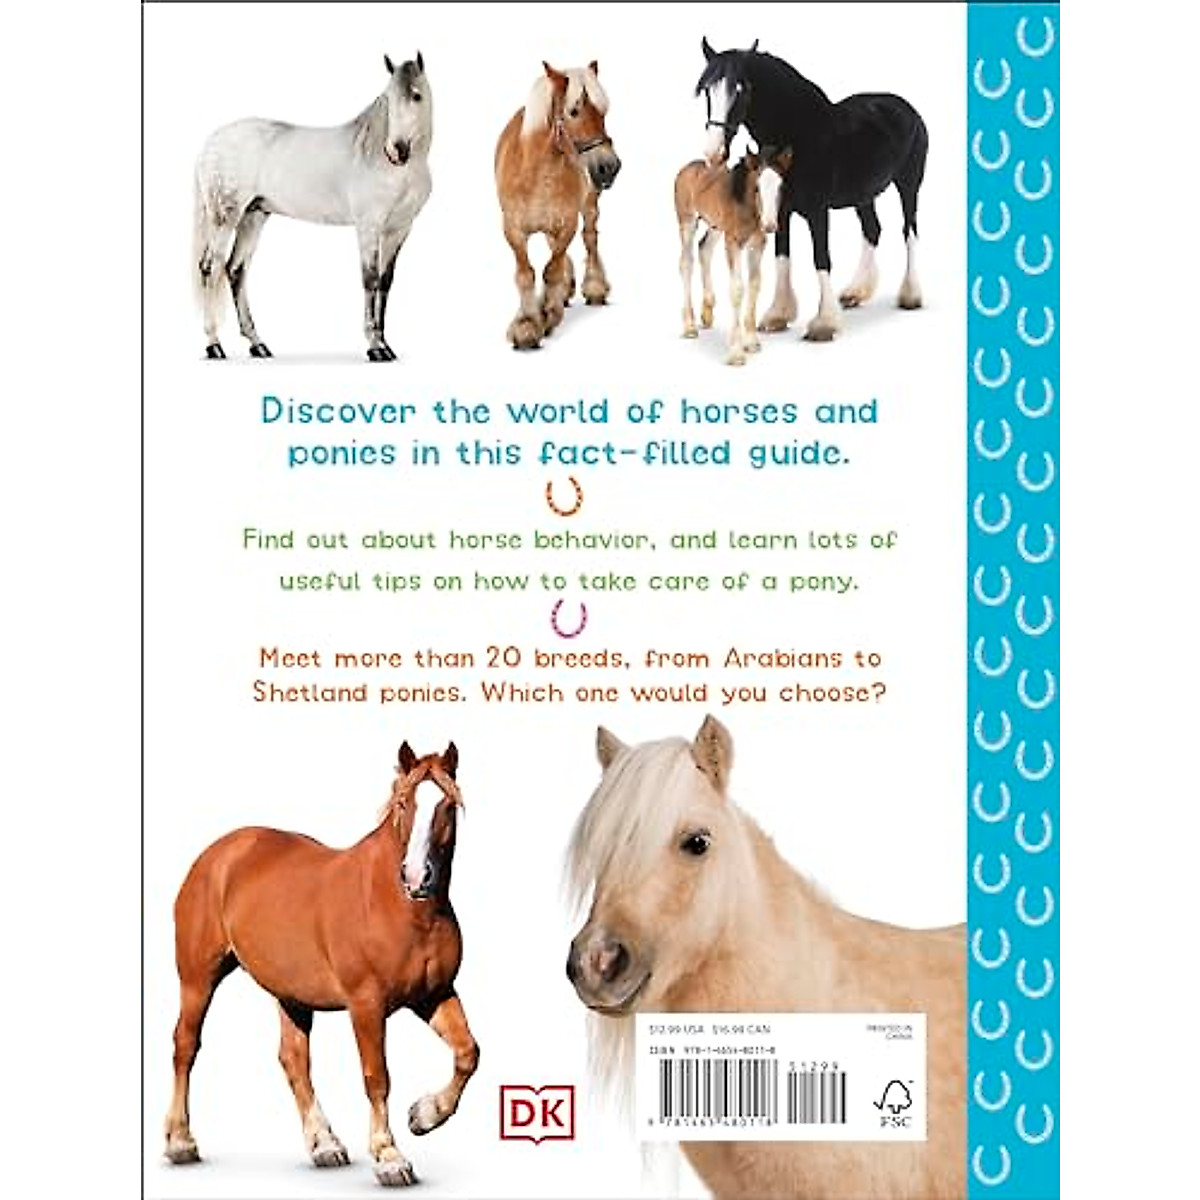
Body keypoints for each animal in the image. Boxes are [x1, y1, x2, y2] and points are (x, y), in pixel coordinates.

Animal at [163, 741, 477, 1188]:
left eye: (447, 805)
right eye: (403, 803)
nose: (417, 877)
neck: (404, 910)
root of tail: (217, 854)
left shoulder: (434, 995)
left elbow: (468, 1052)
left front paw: (424, 1115)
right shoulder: (366, 1005)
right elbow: (377, 1077)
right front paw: (390, 1158)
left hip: (290, 993)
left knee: (294, 1060)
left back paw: (325, 1145)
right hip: (197, 977)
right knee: (186, 1046)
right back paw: (180, 1143)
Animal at [193, 54, 433, 362]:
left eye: (416, 96)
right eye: (387, 100)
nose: (397, 150)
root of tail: (211, 144)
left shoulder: (399, 229)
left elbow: (385, 281)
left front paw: (386, 344)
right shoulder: (369, 227)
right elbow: (369, 280)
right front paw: (375, 347)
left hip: (253, 216)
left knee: (236, 270)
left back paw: (258, 344)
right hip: (225, 217)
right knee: (210, 267)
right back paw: (214, 345)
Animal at [494, 62, 621, 350]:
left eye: (603, 111)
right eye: (573, 111)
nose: (609, 167)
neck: (534, 173)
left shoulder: (567, 223)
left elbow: (551, 269)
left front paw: (547, 315)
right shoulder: (513, 230)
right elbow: (526, 273)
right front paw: (526, 325)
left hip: (589, 205)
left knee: (590, 238)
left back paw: (593, 288)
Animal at [674, 145, 793, 364]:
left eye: (781, 187)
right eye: (757, 188)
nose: (770, 225)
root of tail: (688, 167)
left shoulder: (757, 244)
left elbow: (755, 284)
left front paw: (752, 342)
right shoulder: (733, 243)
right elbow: (738, 289)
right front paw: (736, 352)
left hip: (715, 225)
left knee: (704, 249)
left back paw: (707, 312)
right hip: (687, 221)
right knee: (686, 263)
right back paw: (689, 326)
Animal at [696, 39, 928, 343]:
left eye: (741, 88)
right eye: (707, 90)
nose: (714, 153)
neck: (799, 134)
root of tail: (908, 108)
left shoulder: (818, 211)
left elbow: (821, 258)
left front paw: (824, 324)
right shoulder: (780, 210)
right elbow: (782, 256)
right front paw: (777, 315)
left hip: (909, 185)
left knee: (909, 231)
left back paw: (910, 296)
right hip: (864, 195)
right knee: (872, 230)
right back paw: (856, 292)